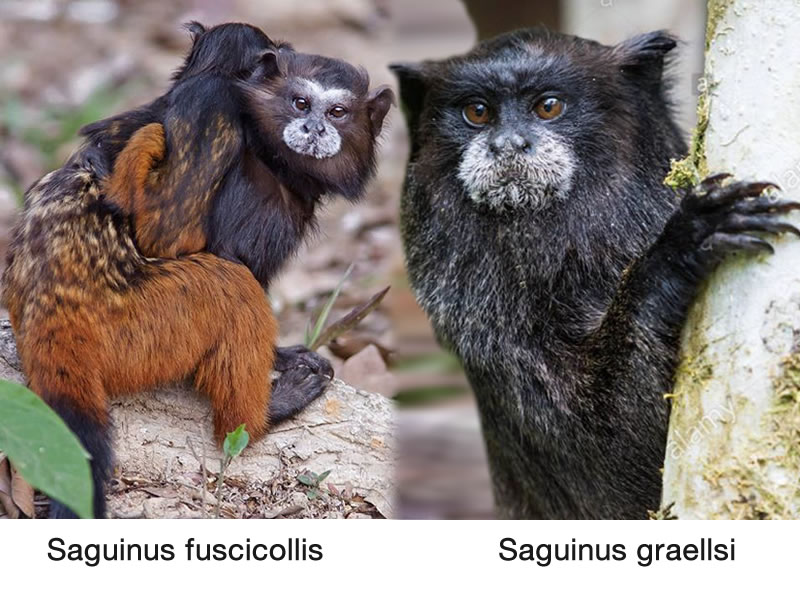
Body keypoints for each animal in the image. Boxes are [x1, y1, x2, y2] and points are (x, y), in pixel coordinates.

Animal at [2, 22, 394, 518]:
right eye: (300, 103)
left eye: (338, 112)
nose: (313, 128)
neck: (268, 153)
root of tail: (55, 308)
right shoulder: (216, 105)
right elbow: (166, 232)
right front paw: (281, 355)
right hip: (144, 326)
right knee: (232, 284)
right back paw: (257, 418)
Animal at [390, 28, 800, 519]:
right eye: (478, 112)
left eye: (548, 107)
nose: (507, 144)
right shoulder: (487, 333)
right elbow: (613, 467)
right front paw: (677, 251)